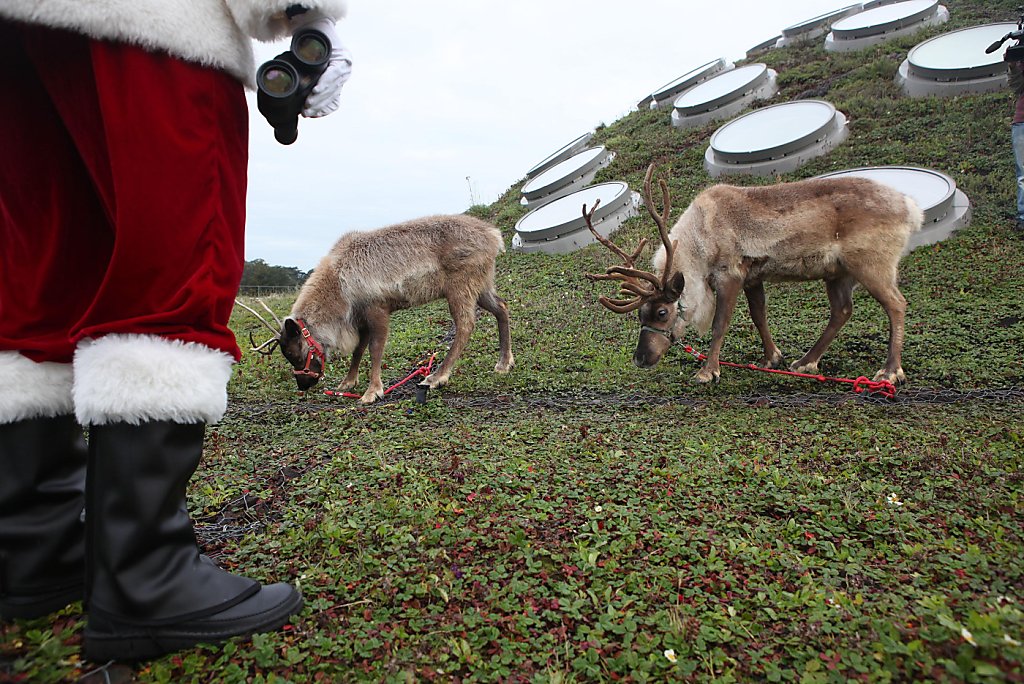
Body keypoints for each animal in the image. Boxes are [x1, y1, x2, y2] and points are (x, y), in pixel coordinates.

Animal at [240, 214, 515, 403]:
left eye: (293, 353)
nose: (303, 384)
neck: (338, 289)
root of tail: (495, 236)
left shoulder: (377, 308)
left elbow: (374, 349)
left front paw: (372, 391)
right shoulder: (359, 317)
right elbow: (358, 349)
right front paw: (347, 383)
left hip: (461, 285)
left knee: (466, 325)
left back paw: (436, 377)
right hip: (482, 283)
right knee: (502, 307)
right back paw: (504, 363)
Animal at [585, 164, 924, 386]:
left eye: (662, 312)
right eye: (640, 313)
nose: (640, 358)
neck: (699, 243)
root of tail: (911, 208)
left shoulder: (730, 274)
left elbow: (720, 324)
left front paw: (708, 371)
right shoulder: (753, 276)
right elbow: (759, 315)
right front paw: (772, 359)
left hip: (871, 263)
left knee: (896, 304)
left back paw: (890, 371)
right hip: (837, 273)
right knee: (842, 310)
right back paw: (805, 362)